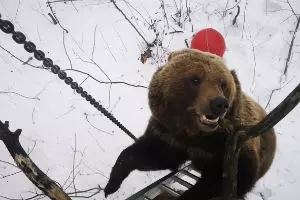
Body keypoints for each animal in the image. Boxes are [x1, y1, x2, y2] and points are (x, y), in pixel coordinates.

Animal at [103, 47, 276, 199]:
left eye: (223, 84)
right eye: (195, 79)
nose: (219, 104)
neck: (194, 134)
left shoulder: (229, 148)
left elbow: (223, 181)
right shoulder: (171, 134)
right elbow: (152, 154)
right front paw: (111, 184)